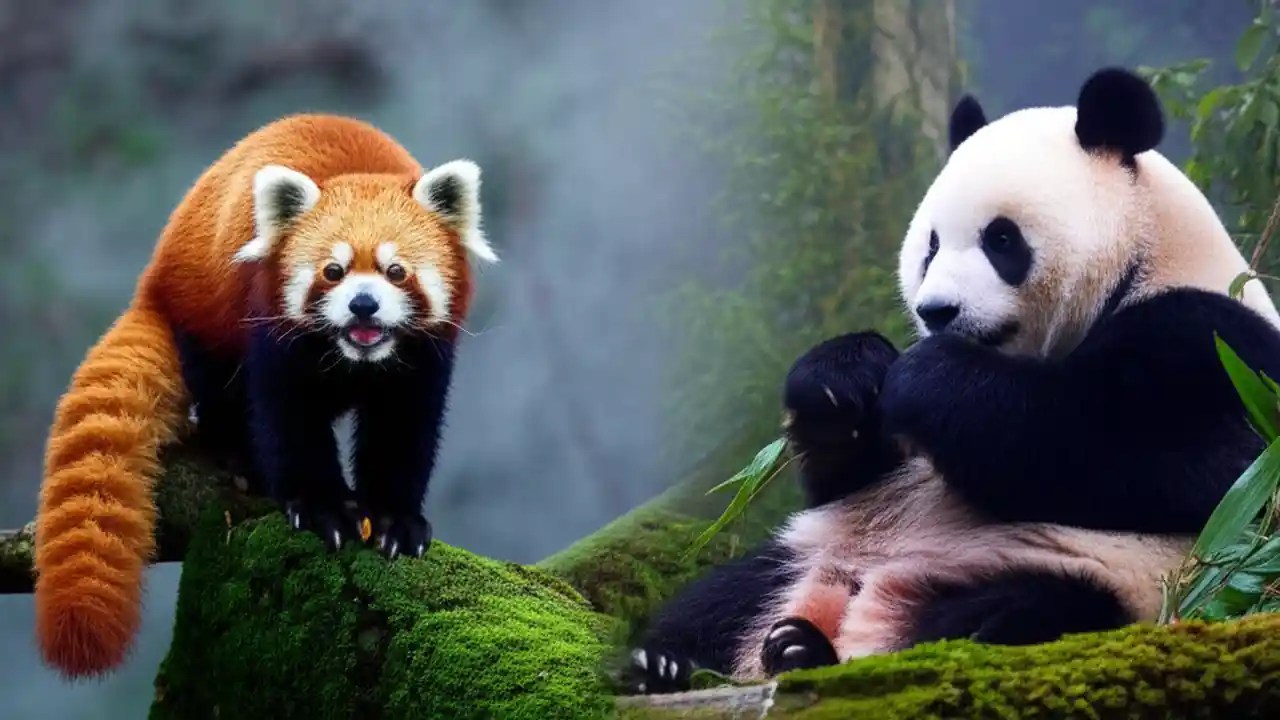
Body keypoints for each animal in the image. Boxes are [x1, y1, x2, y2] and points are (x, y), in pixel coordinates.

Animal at [627, 67, 1280, 694]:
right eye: (931, 246)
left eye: (1001, 238)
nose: (937, 312)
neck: (1144, 258)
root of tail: (854, 608)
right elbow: (851, 470)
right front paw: (844, 377)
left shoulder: (1212, 344)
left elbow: (1168, 460)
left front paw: (928, 377)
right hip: (807, 551)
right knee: (724, 598)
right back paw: (669, 664)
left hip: (1105, 577)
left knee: (1016, 616)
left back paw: (809, 652)